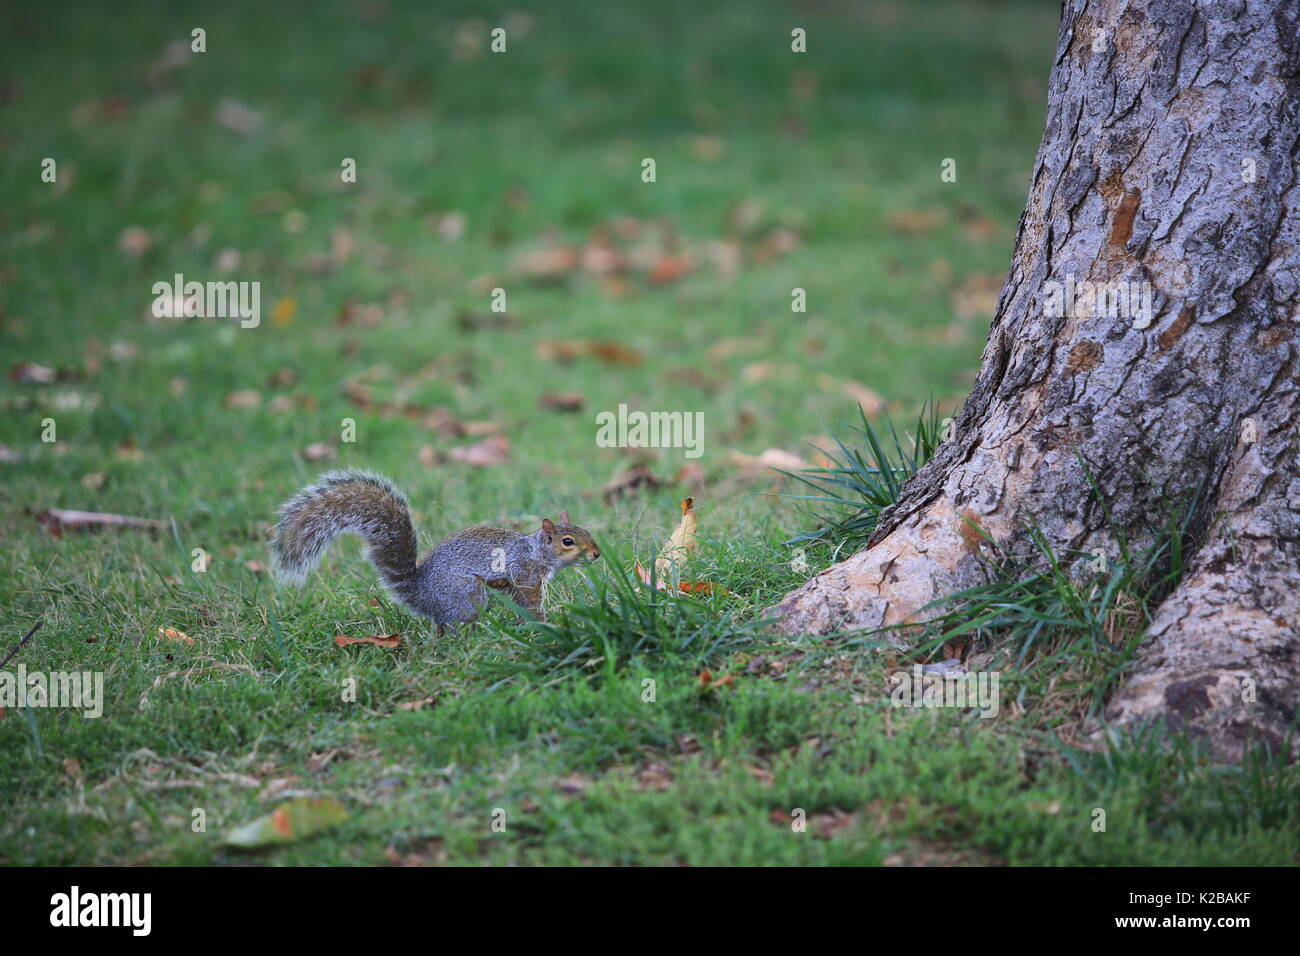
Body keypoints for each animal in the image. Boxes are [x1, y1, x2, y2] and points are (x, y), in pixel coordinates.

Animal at [269, 470, 600, 631]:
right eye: (568, 541)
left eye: (587, 533)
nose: (596, 554)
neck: (536, 550)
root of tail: (422, 593)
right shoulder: (526, 574)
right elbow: (528, 602)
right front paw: (544, 623)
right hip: (468, 595)